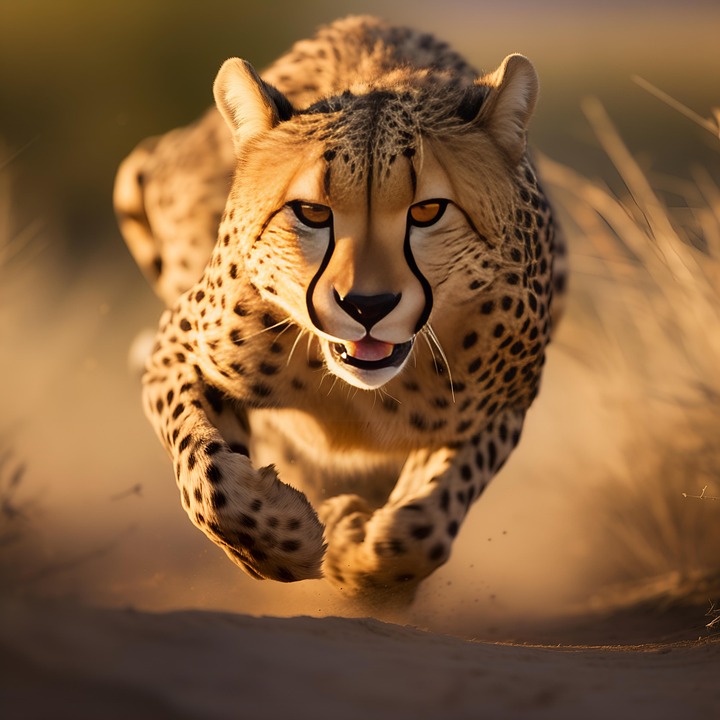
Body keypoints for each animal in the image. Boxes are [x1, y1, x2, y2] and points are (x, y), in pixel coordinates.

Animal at [114, 15, 567, 604]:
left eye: (428, 210)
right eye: (310, 212)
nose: (367, 305)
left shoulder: (502, 403)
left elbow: (424, 525)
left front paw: (357, 551)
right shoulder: (176, 350)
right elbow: (206, 477)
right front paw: (285, 539)